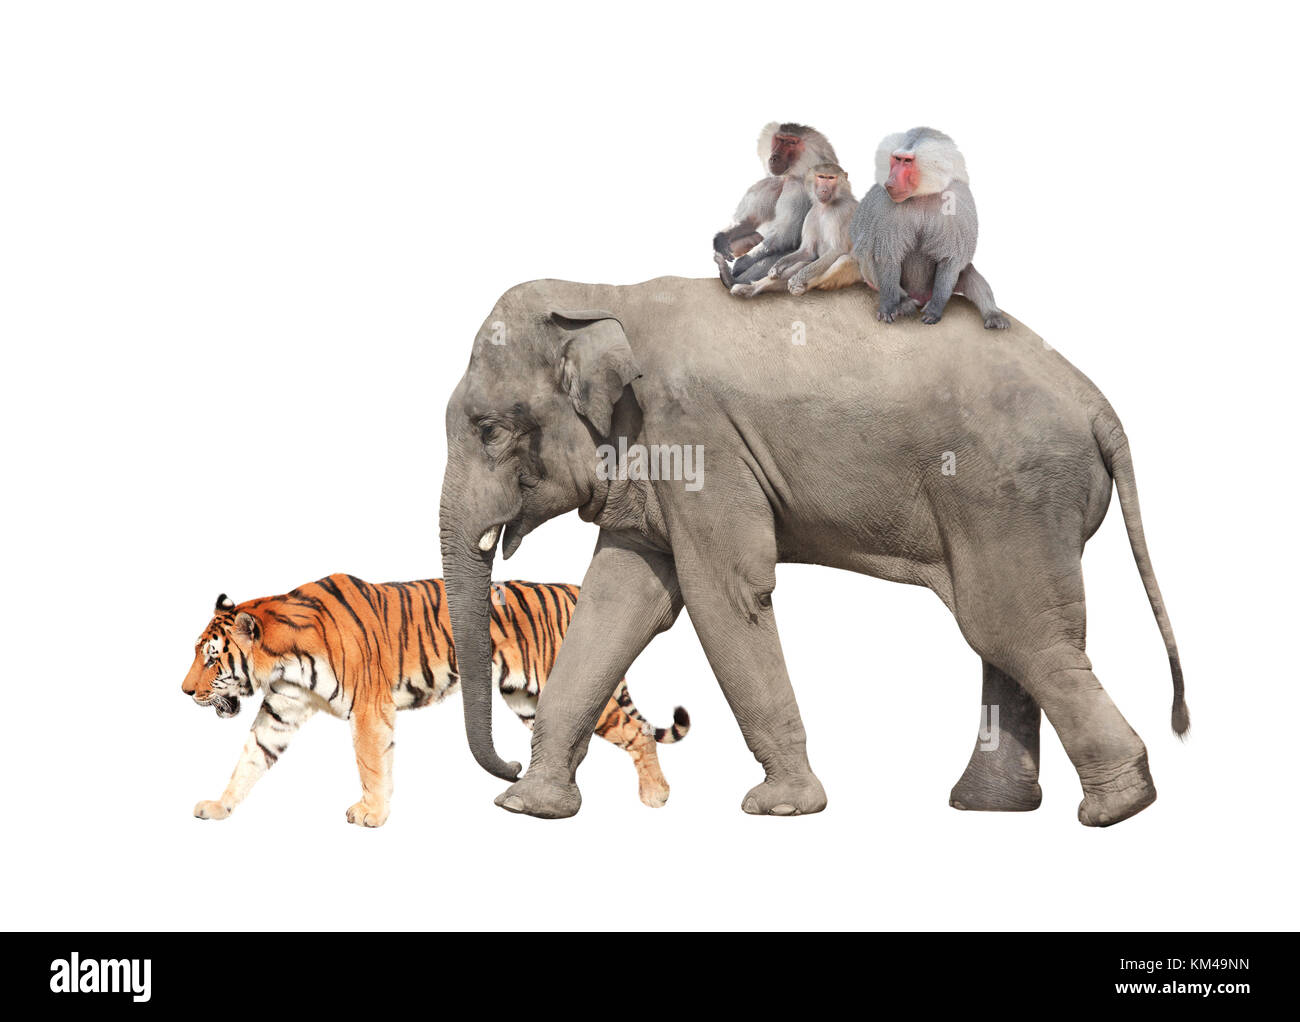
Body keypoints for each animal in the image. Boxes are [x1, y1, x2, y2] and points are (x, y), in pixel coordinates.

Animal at [438, 276, 1187, 826]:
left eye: (489, 430)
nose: (506, 764)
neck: (601, 292)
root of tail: (1098, 405)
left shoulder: (700, 443)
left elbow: (723, 593)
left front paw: (781, 808)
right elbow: (622, 599)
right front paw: (527, 807)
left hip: (1010, 496)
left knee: (1015, 632)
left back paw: (1119, 807)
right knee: (1010, 638)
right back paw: (993, 808)